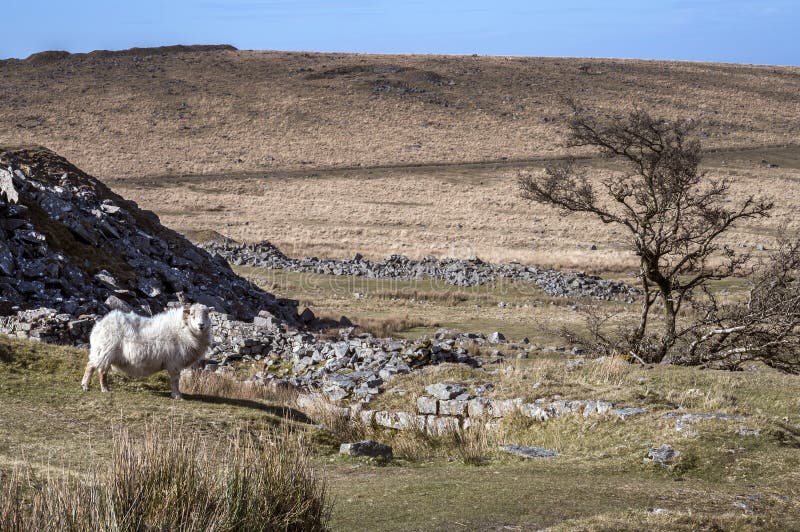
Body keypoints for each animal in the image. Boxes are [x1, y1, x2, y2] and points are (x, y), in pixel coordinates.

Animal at [81, 303, 211, 399]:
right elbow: (175, 380)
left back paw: (93, 386)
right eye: (192, 315)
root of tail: (99, 325)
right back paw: (96, 387)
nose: (201, 325)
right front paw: (177, 395)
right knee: (95, 368)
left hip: (104, 352)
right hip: (105, 350)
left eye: (207, 315)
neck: (183, 328)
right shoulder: (175, 362)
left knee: (97, 368)